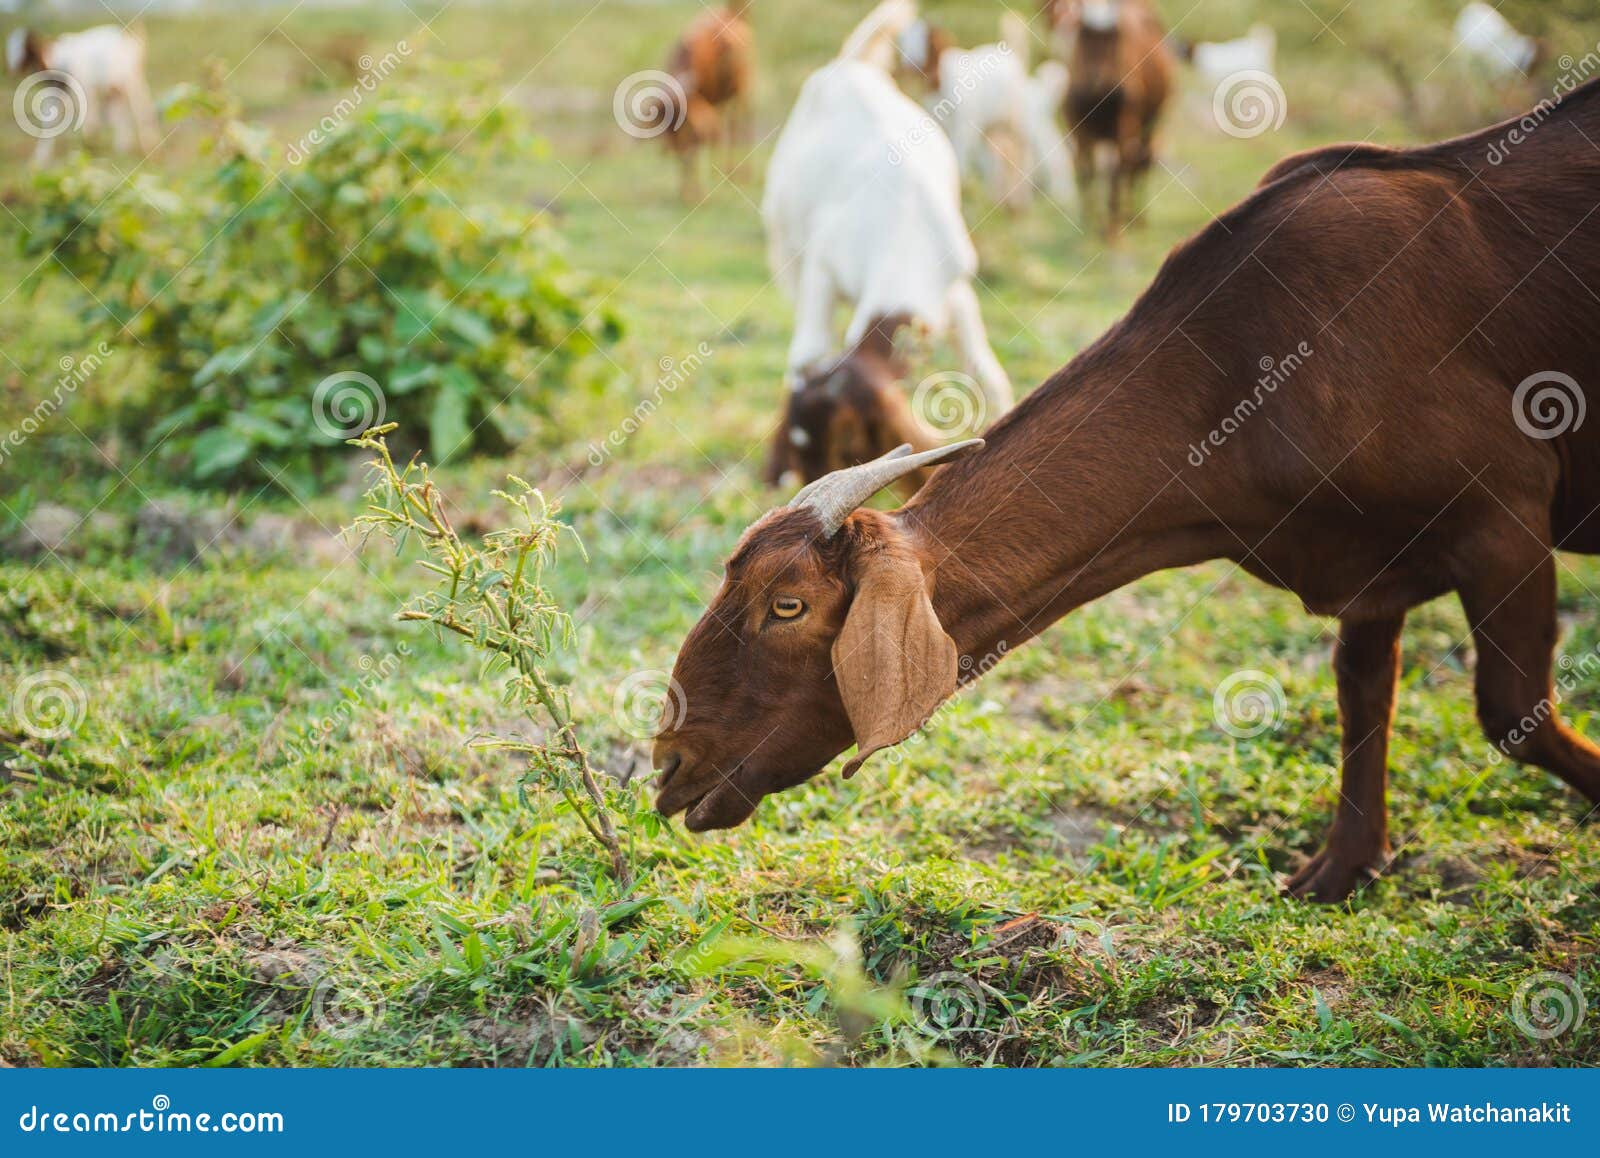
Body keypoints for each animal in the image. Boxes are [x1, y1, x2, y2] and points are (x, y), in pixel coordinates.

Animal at [6, 25, 157, 164]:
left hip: (132, 82)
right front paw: (38, 161)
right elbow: (50, 124)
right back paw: (121, 149)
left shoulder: (85, 92)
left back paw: (148, 146)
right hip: (114, 90)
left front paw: (86, 153)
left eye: (23, 48)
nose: (12, 71)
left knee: (141, 110)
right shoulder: (53, 95)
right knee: (119, 115)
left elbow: (89, 122)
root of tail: (128, 39)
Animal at [650, 3, 754, 200]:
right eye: (672, 141)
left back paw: (735, 172)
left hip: (741, 89)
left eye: (687, 131)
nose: (686, 195)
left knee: (737, 124)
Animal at [654, 80, 1600, 905]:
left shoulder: (1504, 517)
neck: (1247, 371)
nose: (669, 765)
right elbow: (1363, 691)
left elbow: (1513, 713)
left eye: (787, 606)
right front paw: (1339, 872)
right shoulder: (1370, 566)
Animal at [762, 0, 1013, 440]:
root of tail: (850, 66)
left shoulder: (955, 288)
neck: (904, 233)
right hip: (785, 238)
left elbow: (983, 367)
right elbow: (809, 347)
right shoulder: (821, 267)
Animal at [1050, 0, 1173, 235]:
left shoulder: (1126, 126)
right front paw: (1090, 225)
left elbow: (1118, 170)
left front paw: (1114, 226)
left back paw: (1132, 217)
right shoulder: (1079, 128)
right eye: (1082, 35)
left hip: (1149, 124)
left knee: (1138, 163)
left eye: (1117, 37)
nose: (1100, 80)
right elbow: (1086, 171)